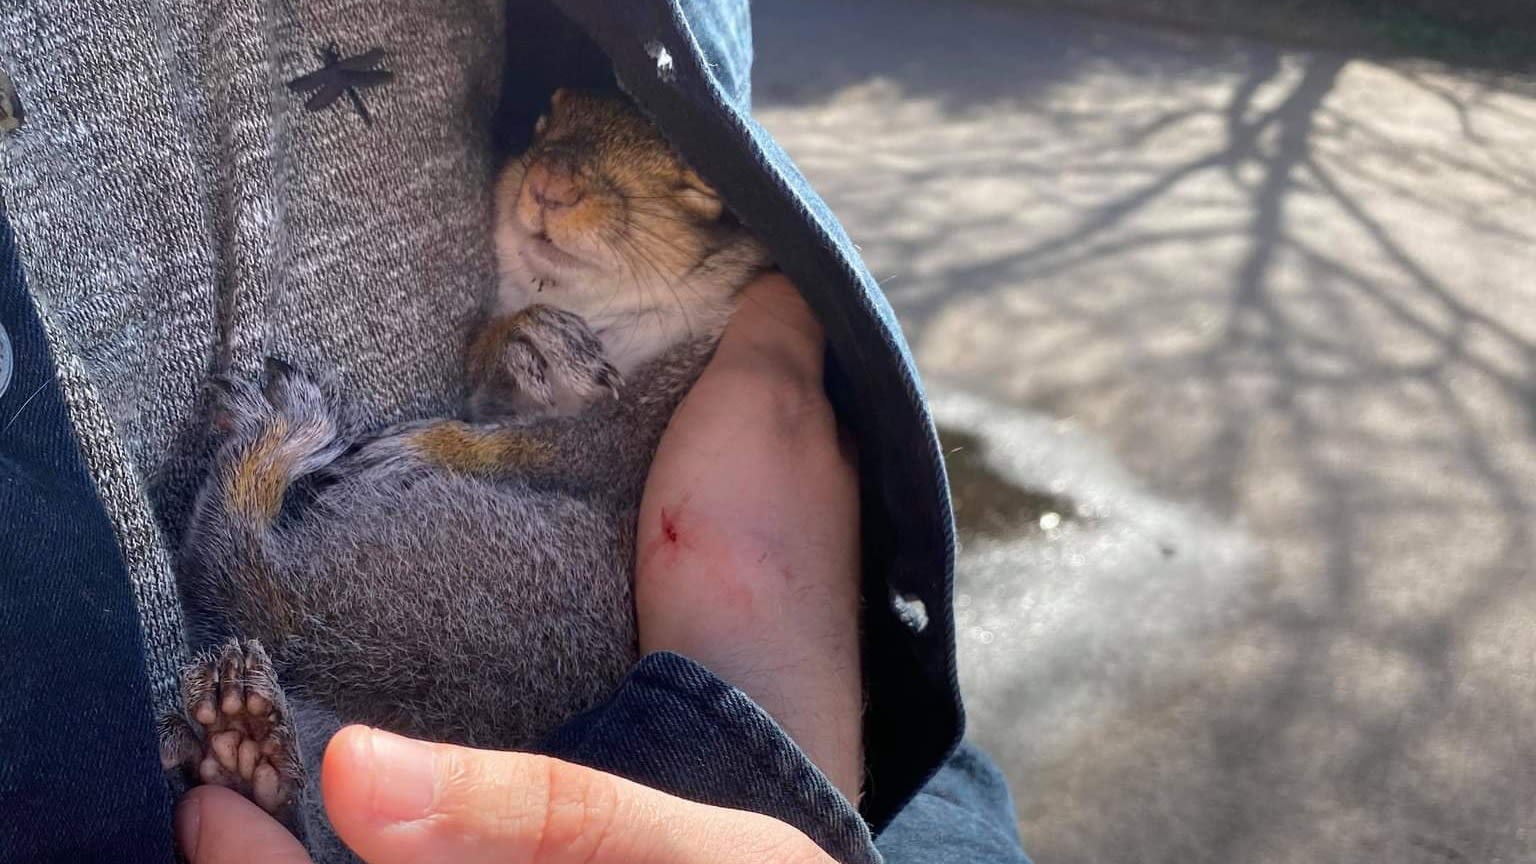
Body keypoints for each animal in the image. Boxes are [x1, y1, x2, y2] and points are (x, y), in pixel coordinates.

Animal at [159, 89, 771, 859]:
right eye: (546, 113)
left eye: (704, 189)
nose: (549, 184)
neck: (610, 318)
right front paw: (521, 336)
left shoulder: (650, 419)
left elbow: (557, 451)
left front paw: (429, 444)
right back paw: (248, 758)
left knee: (240, 572)